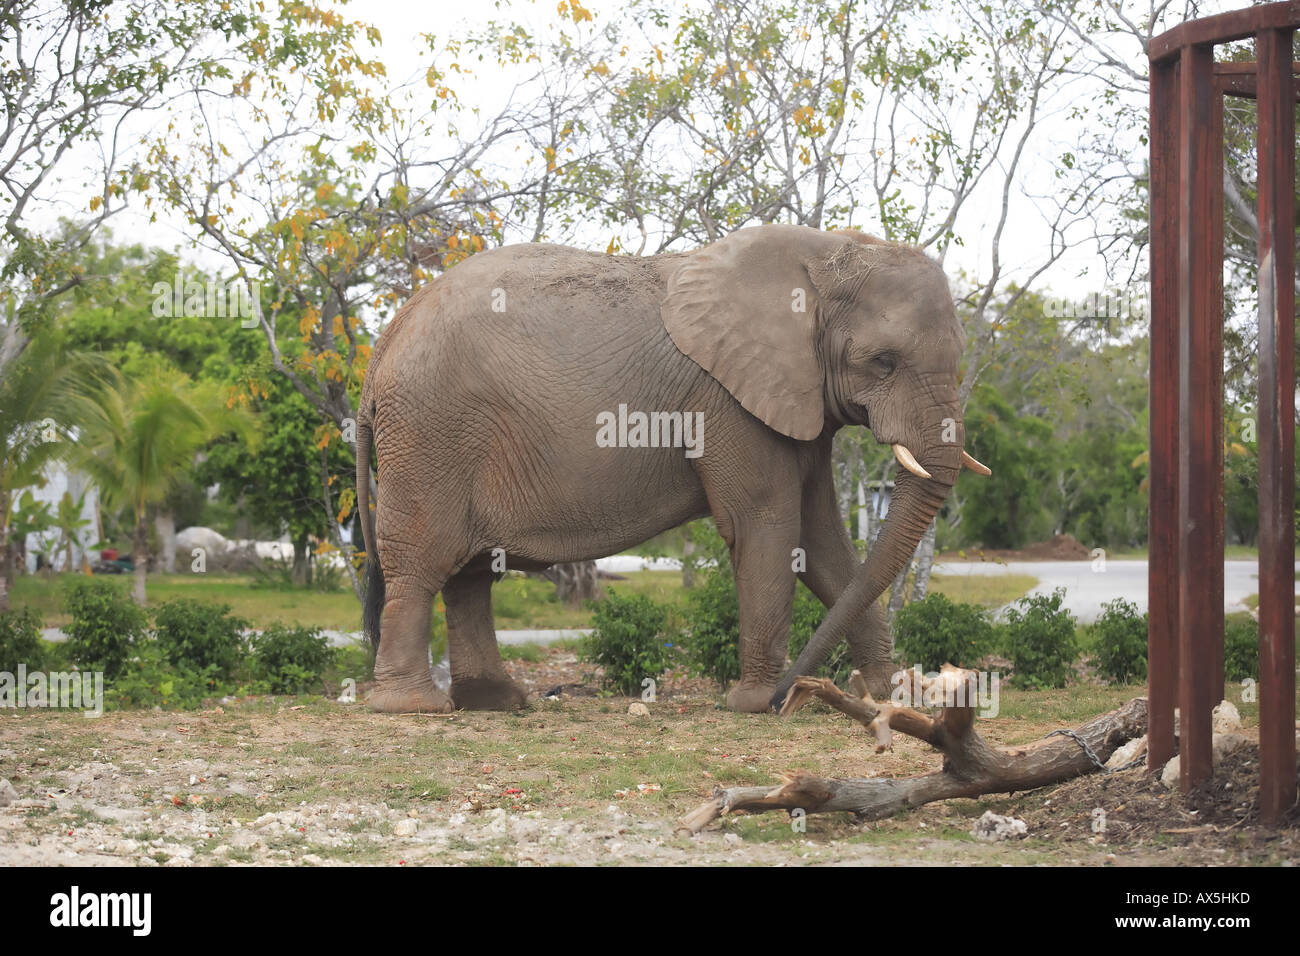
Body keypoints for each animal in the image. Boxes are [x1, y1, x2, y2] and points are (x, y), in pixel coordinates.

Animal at [353, 223, 989, 714]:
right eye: (883, 362)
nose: (791, 695)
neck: (825, 253)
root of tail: (382, 346)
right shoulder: (726, 399)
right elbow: (767, 524)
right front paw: (751, 704)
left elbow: (820, 540)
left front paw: (885, 695)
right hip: (429, 432)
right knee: (424, 561)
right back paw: (415, 708)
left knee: (471, 575)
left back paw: (497, 702)